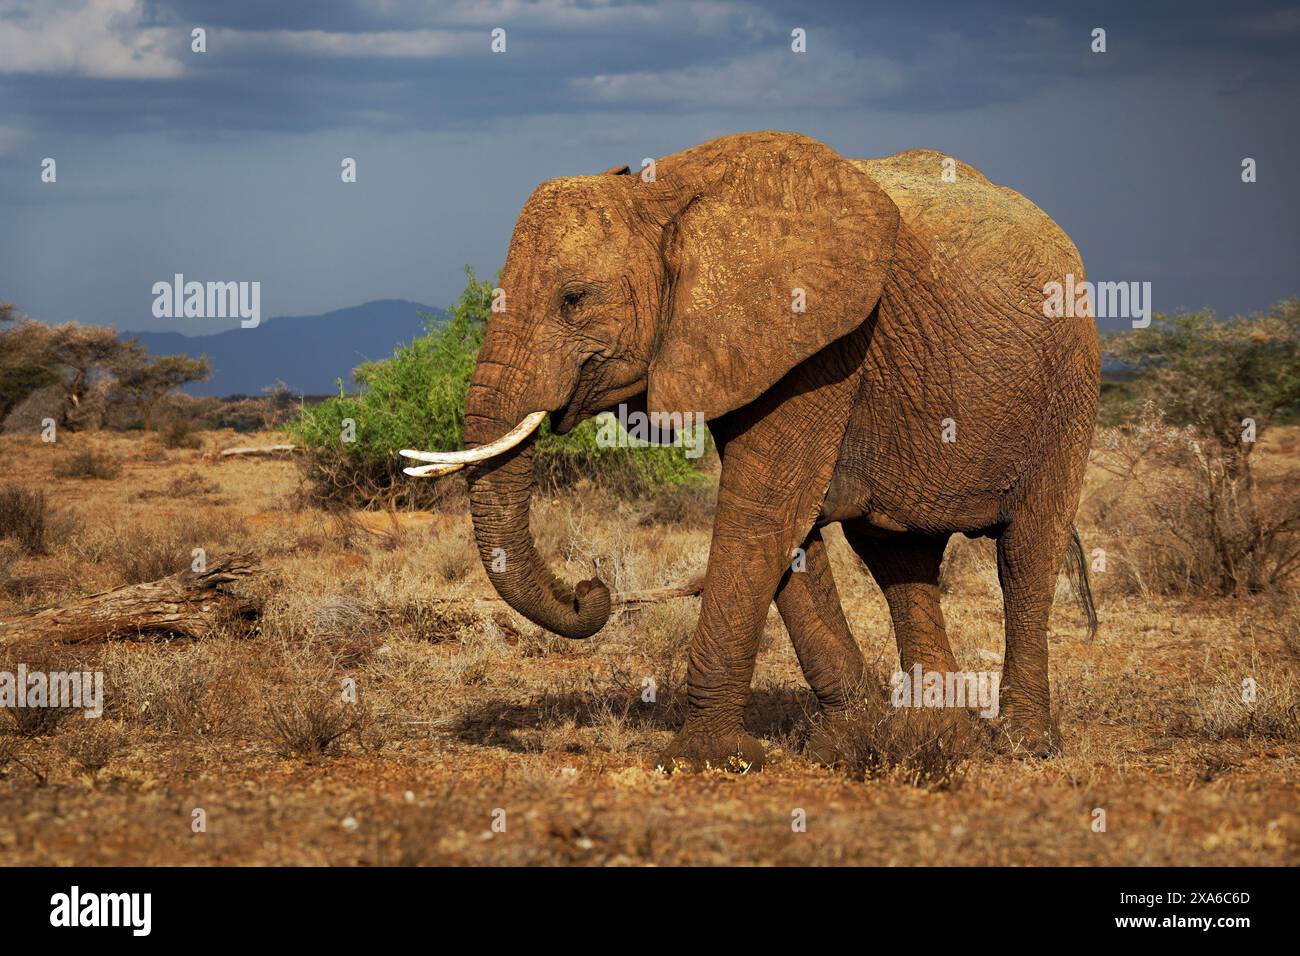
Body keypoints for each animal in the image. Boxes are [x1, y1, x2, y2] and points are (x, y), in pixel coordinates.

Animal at [402, 131, 1100, 772]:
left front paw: (704, 760)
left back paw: (1023, 746)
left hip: (1068, 387)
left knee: (1026, 555)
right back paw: (944, 740)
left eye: (573, 298)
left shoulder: (821, 339)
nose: (589, 587)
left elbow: (761, 509)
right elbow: (789, 529)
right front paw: (847, 744)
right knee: (900, 560)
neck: (664, 196)